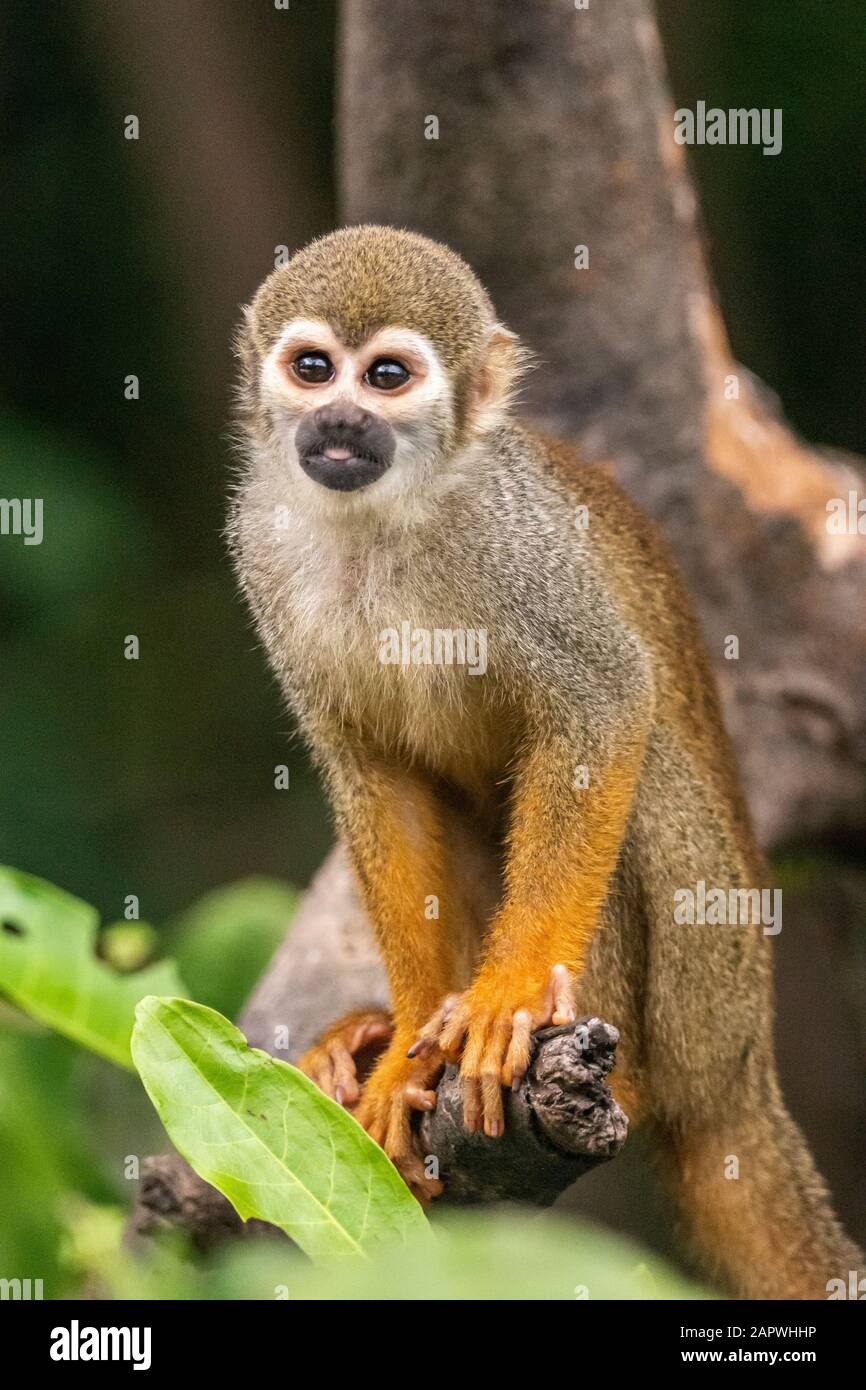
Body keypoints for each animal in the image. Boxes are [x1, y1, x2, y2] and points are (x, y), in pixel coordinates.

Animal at [228, 224, 863, 1299]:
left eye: (387, 377)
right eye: (312, 369)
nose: (340, 422)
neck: (384, 525)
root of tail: (748, 1073)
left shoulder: (519, 547)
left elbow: (602, 704)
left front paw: (513, 994)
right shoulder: (264, 557)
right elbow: (375, 777)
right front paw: (405, 1046)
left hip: (711, 989)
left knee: (642, 771)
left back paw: (612, 1062)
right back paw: (368, 1034)